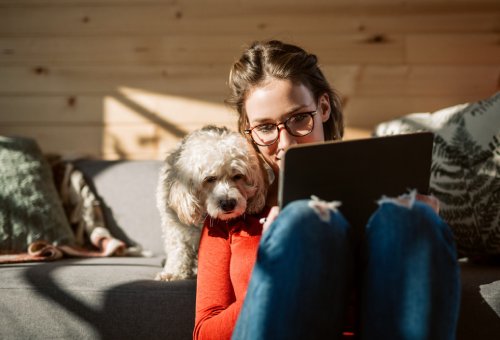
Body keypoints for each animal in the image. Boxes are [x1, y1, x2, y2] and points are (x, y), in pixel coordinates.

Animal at [155, 126, 266, 280]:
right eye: (210, 179)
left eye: (238, 176)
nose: (228, 204)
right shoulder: (175, 227)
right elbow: (178, 249)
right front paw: (174, 272)